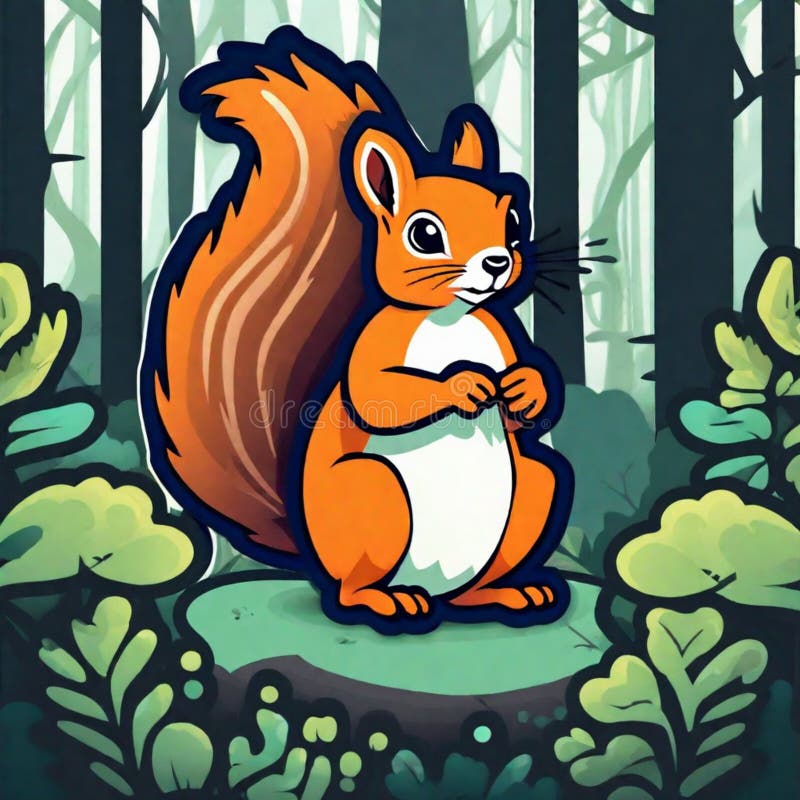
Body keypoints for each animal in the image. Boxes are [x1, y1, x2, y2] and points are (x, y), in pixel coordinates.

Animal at [141, 26, 572, 631]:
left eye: (512, 220)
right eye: (424, 234)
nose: (497, 263)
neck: (451, 316)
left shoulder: (503, 336)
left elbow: (522, 400)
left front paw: (524, 388)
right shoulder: (375, 341)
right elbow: (375, 394)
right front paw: (465, 383)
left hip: (537, 485)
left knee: (482, 573)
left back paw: (507, 593)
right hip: (375, 493)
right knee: (351, 590)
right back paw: (386, 601)